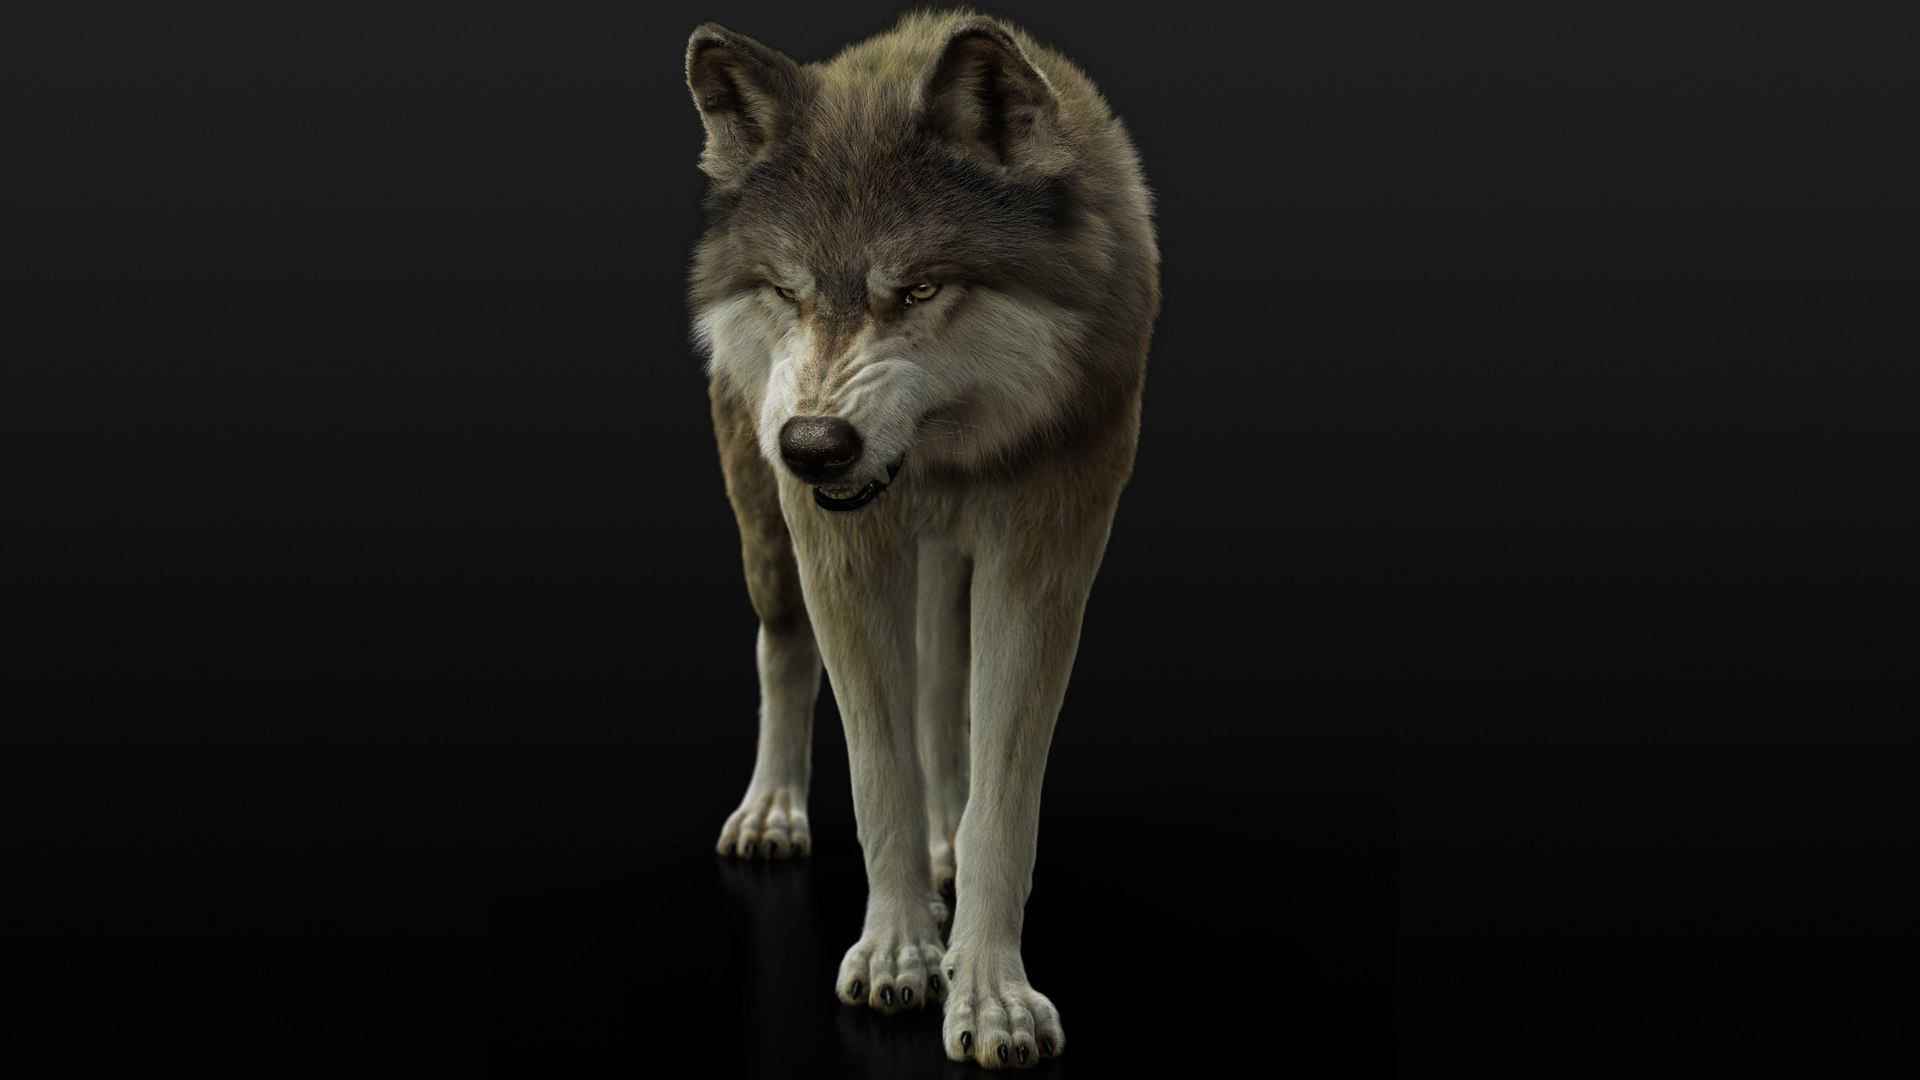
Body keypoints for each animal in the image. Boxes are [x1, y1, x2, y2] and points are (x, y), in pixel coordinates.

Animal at [687, 9, 1157, 1068]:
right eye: (787, 291)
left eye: (920, 290)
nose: (813, 445)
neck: (946, 458)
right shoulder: (842, 554)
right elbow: (878, 773)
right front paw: (898, 951)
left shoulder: (1048, 548)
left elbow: (1002, 798)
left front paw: (989, 992)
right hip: (766, 528)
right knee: (783, 647)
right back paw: (771, 812)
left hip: (950, 562)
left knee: (945, 688)